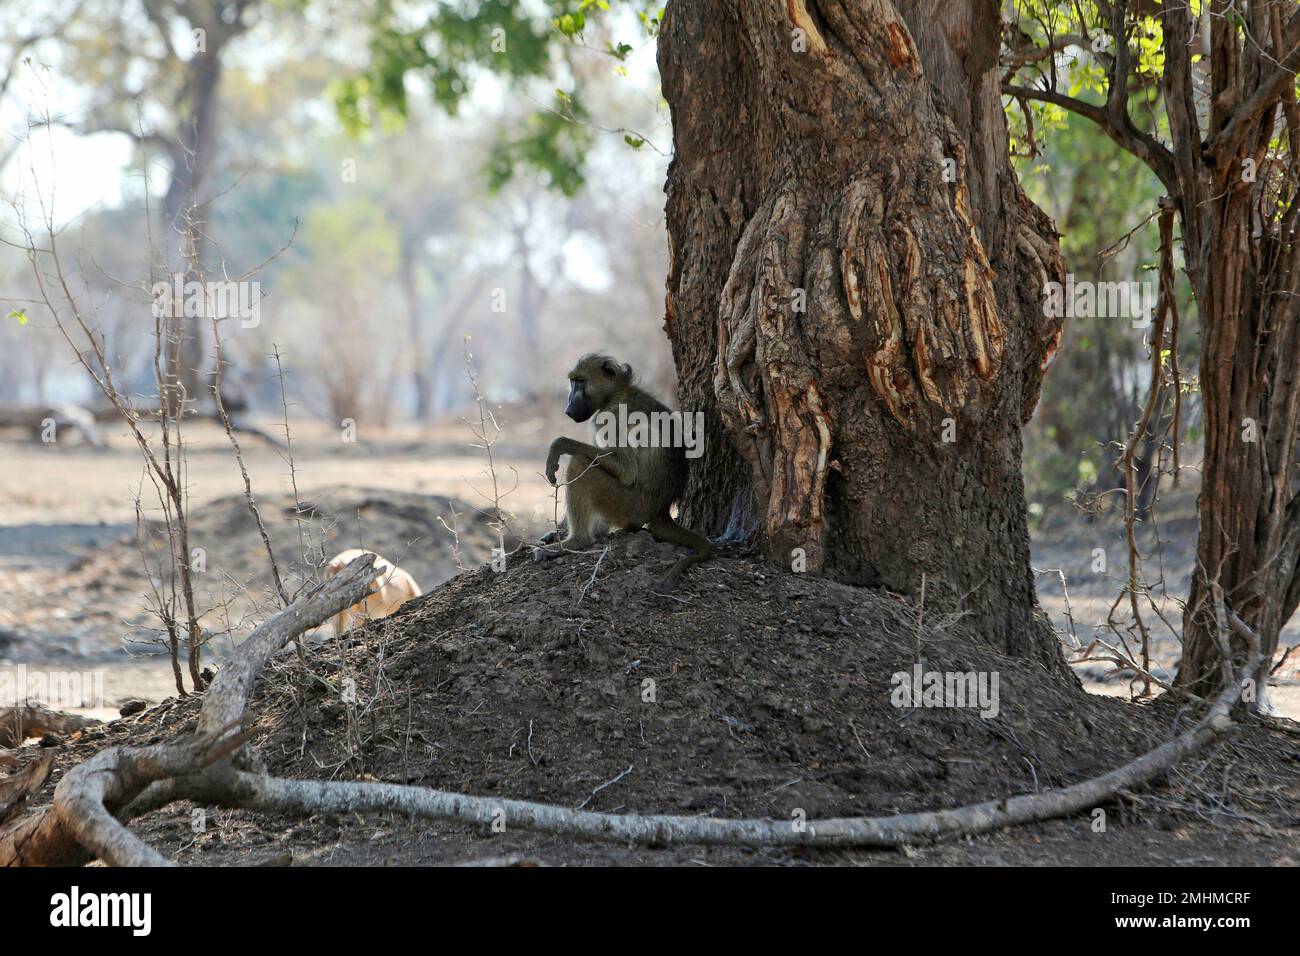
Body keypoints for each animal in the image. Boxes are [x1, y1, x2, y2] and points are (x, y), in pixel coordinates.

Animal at [534, 354, 713, 586]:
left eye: (580, 382)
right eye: (572, 381)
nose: (568, 409)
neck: (616, 391)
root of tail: (661, 510)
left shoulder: (610, 417)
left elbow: (626, 471)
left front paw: (560, 445)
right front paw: (558, 530)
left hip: (628, 507)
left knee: (581, 463)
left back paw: (576, 541)